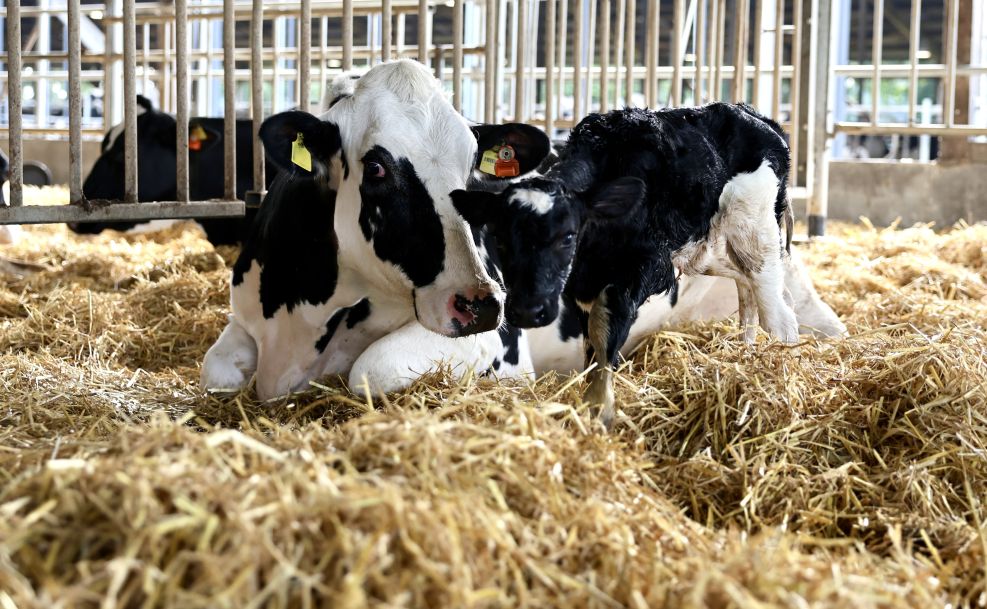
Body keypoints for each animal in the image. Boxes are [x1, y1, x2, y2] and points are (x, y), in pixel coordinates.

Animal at [200, 59, 550, 400]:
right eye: (376, 168)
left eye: (469, 167)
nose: (481, 304)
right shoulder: (243, 315)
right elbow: (215, 369)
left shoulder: (493, 342)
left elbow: (370, 369)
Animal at [451, 103, 843, 428]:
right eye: (499, 238)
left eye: (567, 237)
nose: (528, 312)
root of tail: (755, 116)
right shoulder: (582, 287)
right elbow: (592, 347)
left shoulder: (643, 270)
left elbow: (606, 333)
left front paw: (601, 409)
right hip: (714, 248)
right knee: (747, 294)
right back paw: (746, 357)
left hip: (757, 234)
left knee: (779, 314)